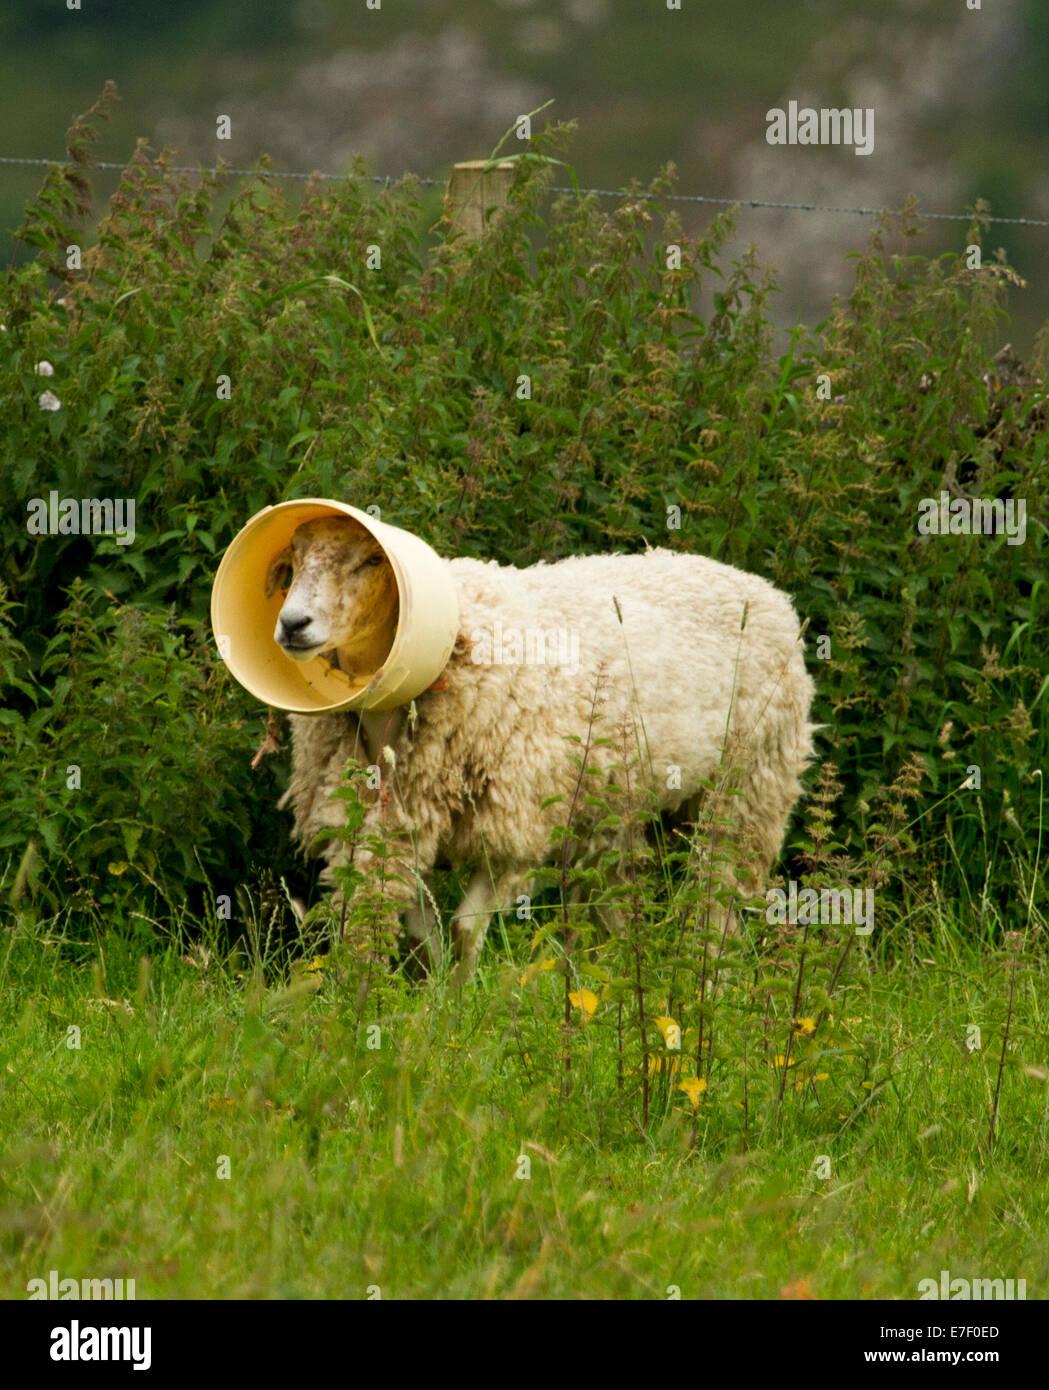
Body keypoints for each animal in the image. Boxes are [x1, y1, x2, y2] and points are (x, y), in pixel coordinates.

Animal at [270, 517, 822, 984]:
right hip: (618, 812)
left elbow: (464, 930)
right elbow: (420, 936)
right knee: (618, 906)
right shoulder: (394, 827)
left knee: (717, 899)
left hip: (745, 789)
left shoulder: (517, 829)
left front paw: (455, 1009)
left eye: (369, 561)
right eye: (293, 561)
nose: (292, 624)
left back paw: (709, 988)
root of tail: (765, 589)